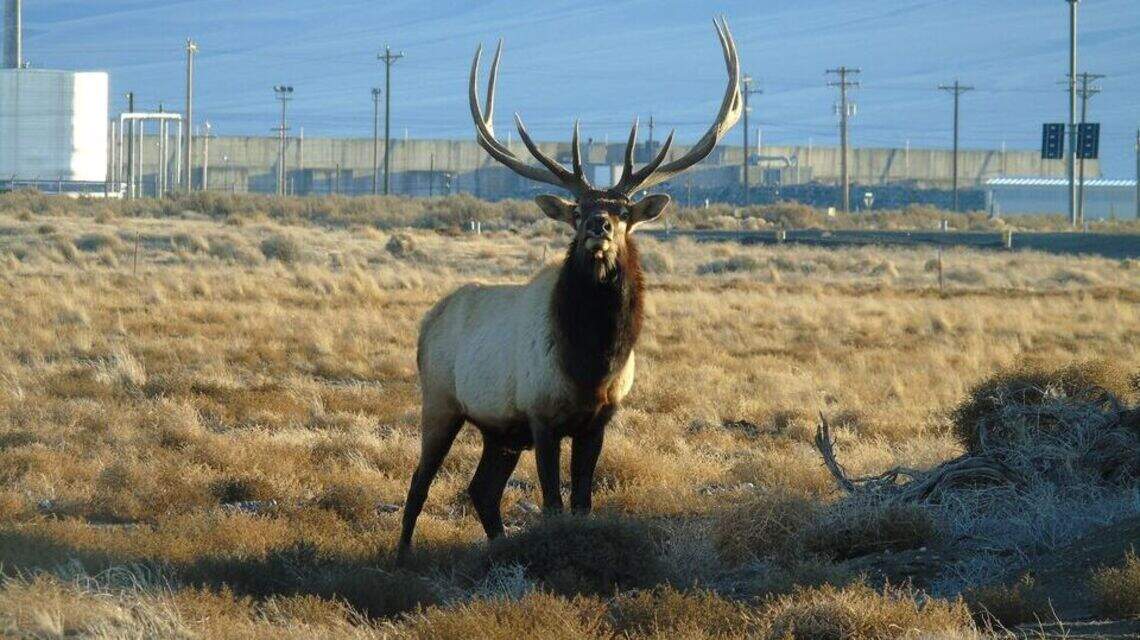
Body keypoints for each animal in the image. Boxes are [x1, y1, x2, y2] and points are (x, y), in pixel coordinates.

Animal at [397, 17, 741, 557]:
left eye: (624, 211)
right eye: (577, 210)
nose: (598, 225)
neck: (591, 362)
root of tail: (426, 323)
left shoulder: (598, 420)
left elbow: (581, 502)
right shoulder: (541, 416)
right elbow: (552, 503)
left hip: (499, 431)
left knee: (481, 489)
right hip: (440, 401)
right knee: (419, 481)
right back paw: (401, 556)